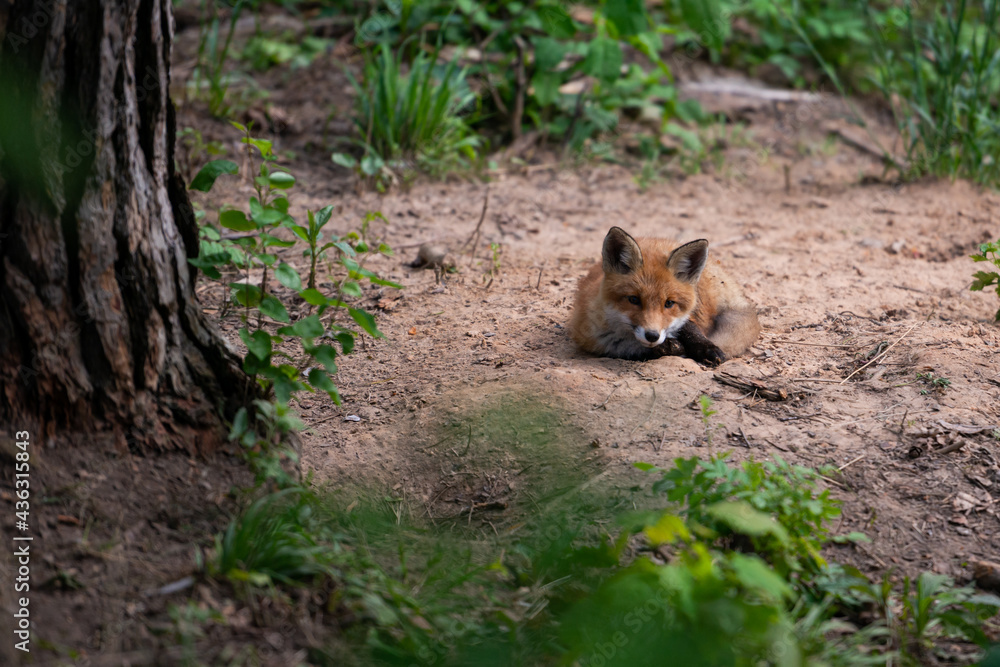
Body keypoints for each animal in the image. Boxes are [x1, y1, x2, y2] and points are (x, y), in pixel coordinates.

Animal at [569, 226, 760, 365]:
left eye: (669, 303)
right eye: (633, 300)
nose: (652, 335)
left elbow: (689, 328)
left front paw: (704, 348)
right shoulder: (594, 339)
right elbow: (632, 348)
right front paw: (668, 347)